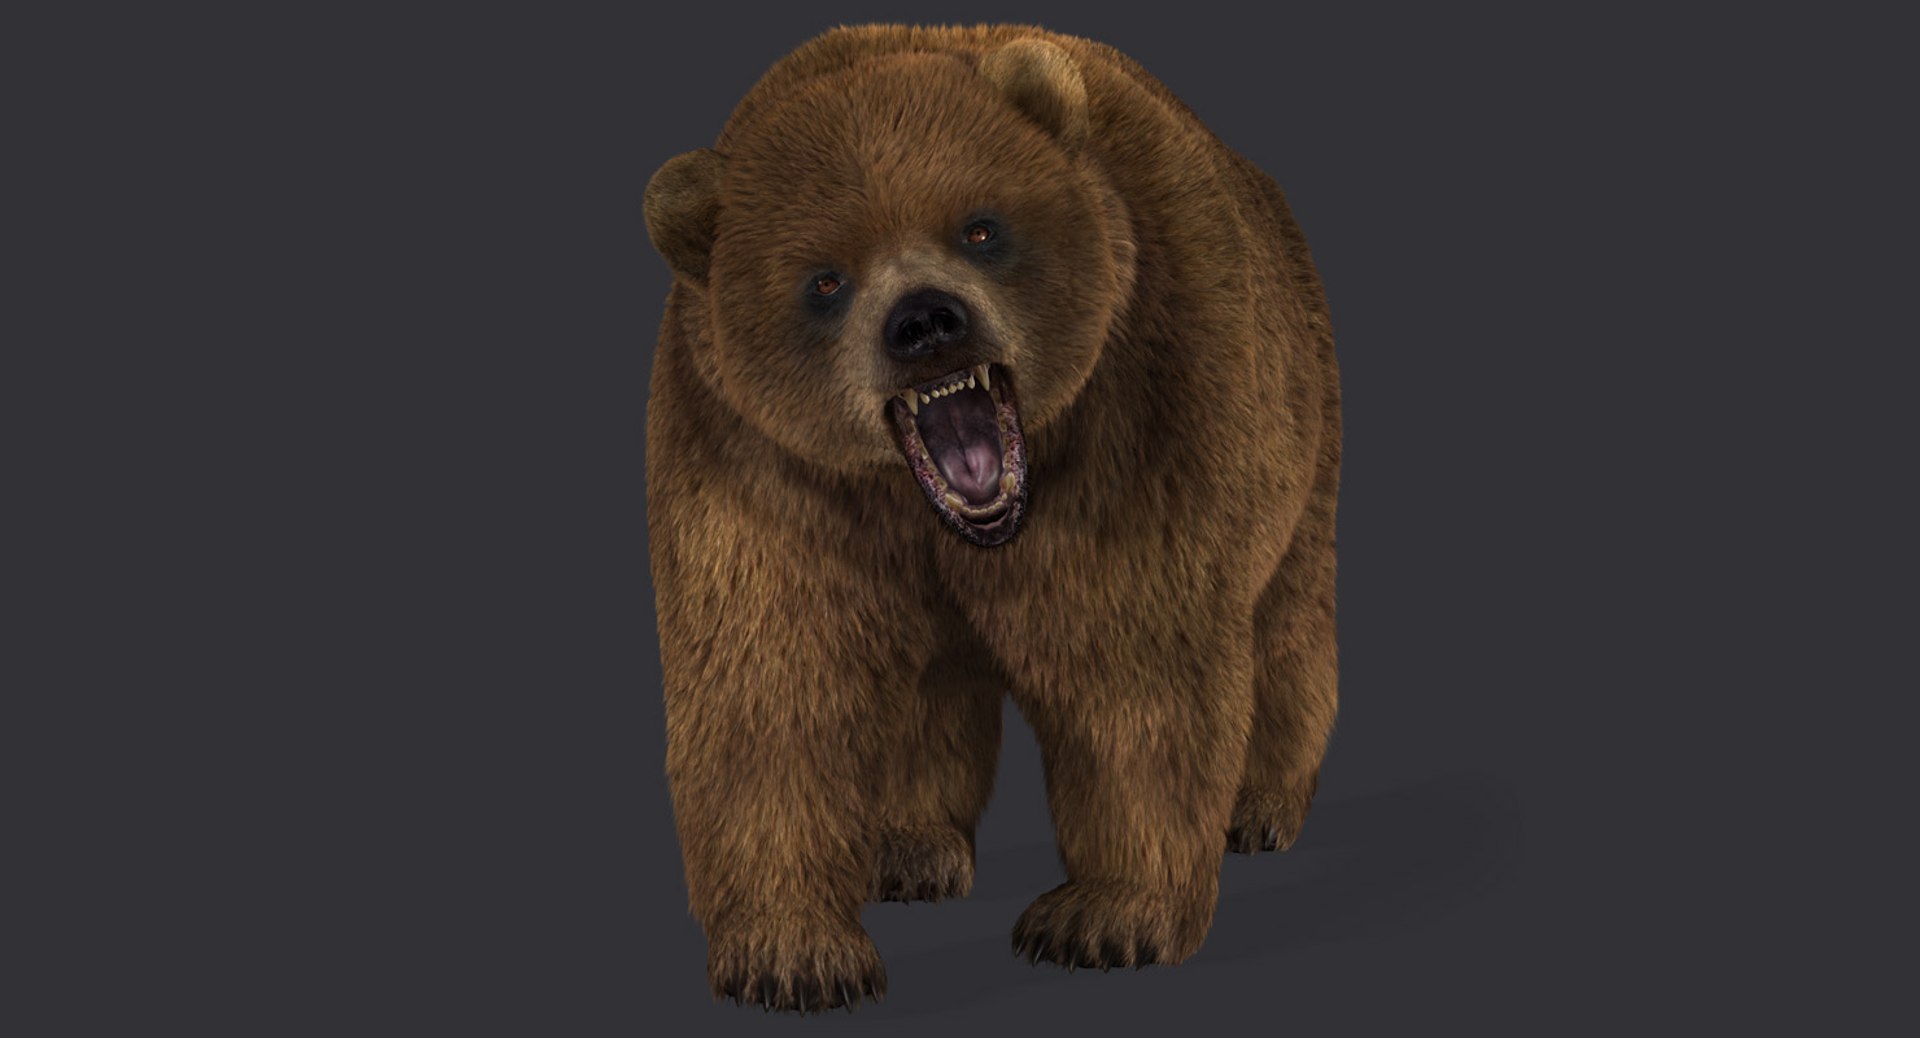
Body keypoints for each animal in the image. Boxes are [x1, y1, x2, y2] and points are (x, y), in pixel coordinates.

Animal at [642, 23, 1341, 1013]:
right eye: (824, 279)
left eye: (980, 227)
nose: (926, 322)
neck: (936, 512)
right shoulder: (758, 465)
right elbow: (773, 683)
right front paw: (794, 950)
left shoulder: (1137, 419)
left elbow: (1134, 668)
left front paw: (1102, 916)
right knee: (929, 683)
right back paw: (911, 846)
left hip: (1298, 414)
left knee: (1281, 618)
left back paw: (1261, 807)